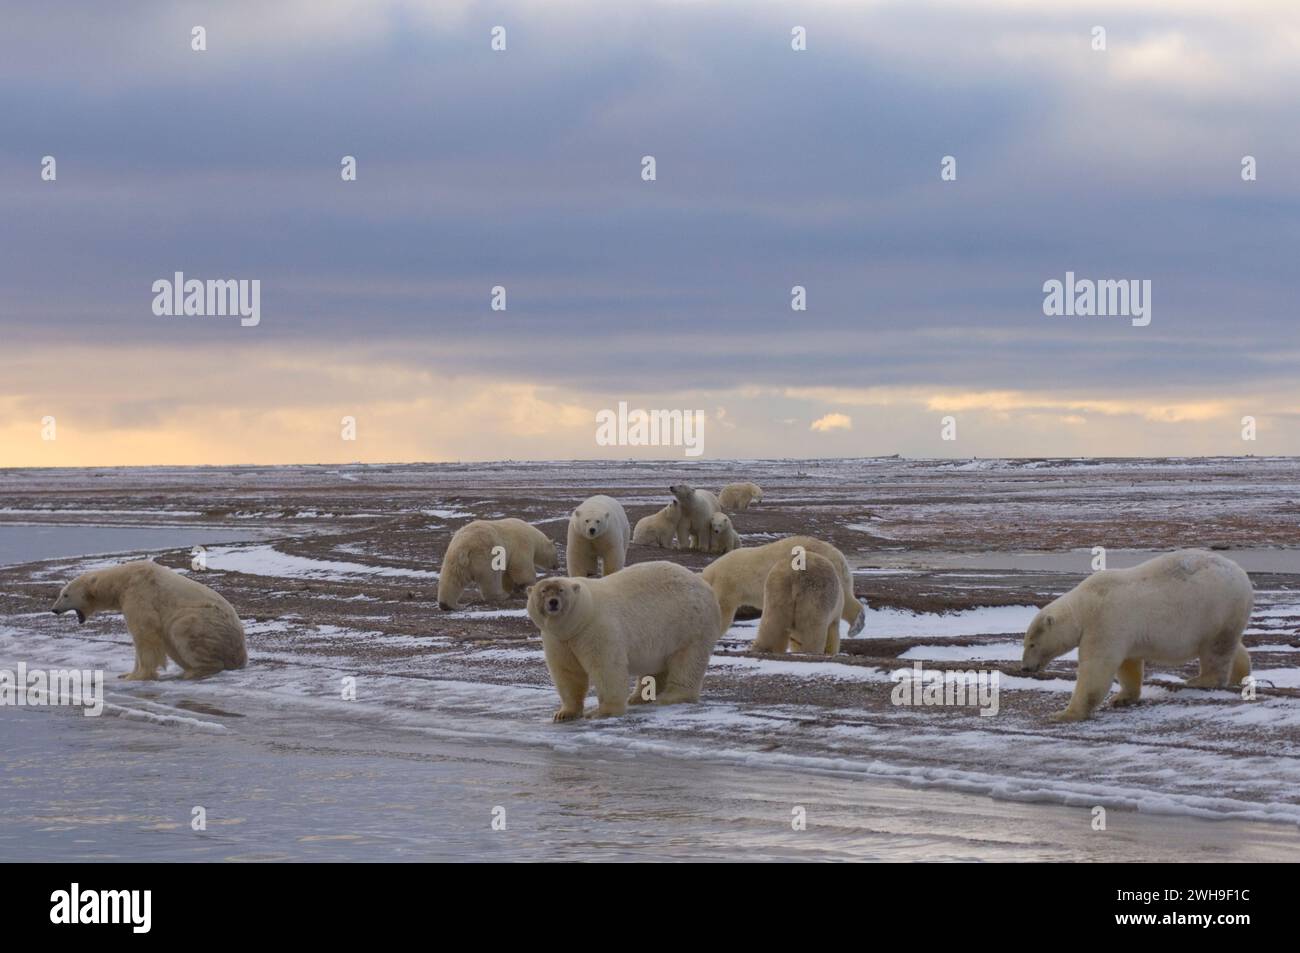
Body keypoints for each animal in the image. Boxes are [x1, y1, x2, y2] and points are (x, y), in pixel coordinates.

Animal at [51, 560, 247, 680]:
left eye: (65, 594)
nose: (54, 609)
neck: (122, 580)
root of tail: (241, 655)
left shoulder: (140, 592)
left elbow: (145, 634)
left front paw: (137, 676)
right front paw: (125, 674)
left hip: (205, 622)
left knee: (182, 628)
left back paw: (194, 671)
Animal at [527, 561, 721, 720]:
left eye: (561, 590)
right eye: (543, 591)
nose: (553, 602)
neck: (583, 615)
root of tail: (706, 585)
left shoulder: (596, 629)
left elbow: (606, 667)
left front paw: (602, 712)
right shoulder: (559, 640)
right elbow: (567, 672)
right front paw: (564, 713)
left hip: (690, 624)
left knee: (687, 661)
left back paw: (671, 696)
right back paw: (638, 697)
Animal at [701, 535, 864, 650]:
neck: (712, 573)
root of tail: (839, 556)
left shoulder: (727, 582)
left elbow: (723, 609)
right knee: (846, 599)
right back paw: (856, 626)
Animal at [1020, 549, 1254, 722]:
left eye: (1031, 644)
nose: (1024, 668)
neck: (1086, 604)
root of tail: (1243, 575)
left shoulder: (1105, 621)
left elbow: (1096, 667)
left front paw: (1064, 714)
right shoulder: (1122, 631)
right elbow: (1128, 664)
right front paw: (1122, 698)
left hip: (1218, 608)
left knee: (1216, 648)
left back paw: (1200, 680)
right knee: (1232, 645)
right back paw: (1240, 675)